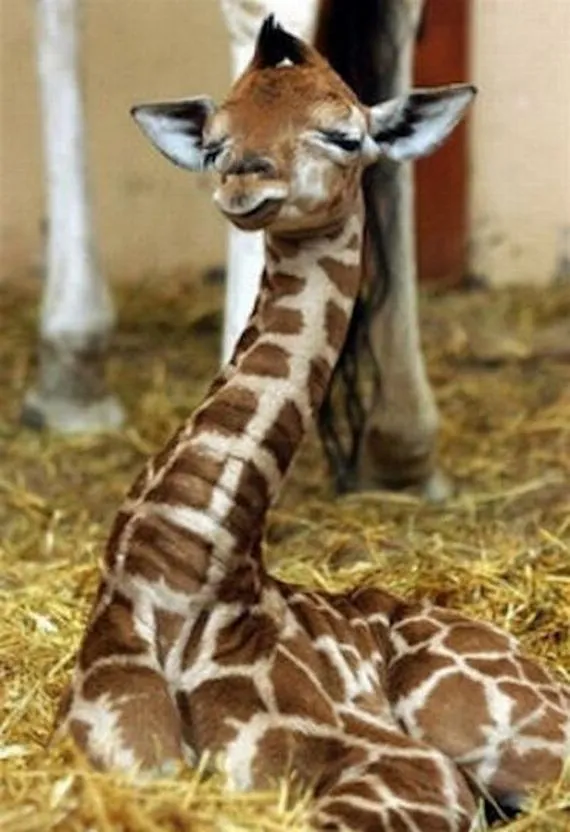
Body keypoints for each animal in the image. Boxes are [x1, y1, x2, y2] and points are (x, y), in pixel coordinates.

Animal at [55, 19, 569, 832]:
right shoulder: (114, 751)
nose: (244, 182)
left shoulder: (409, 765)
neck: (176, 582)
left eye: (346, 135)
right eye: (214, 142)